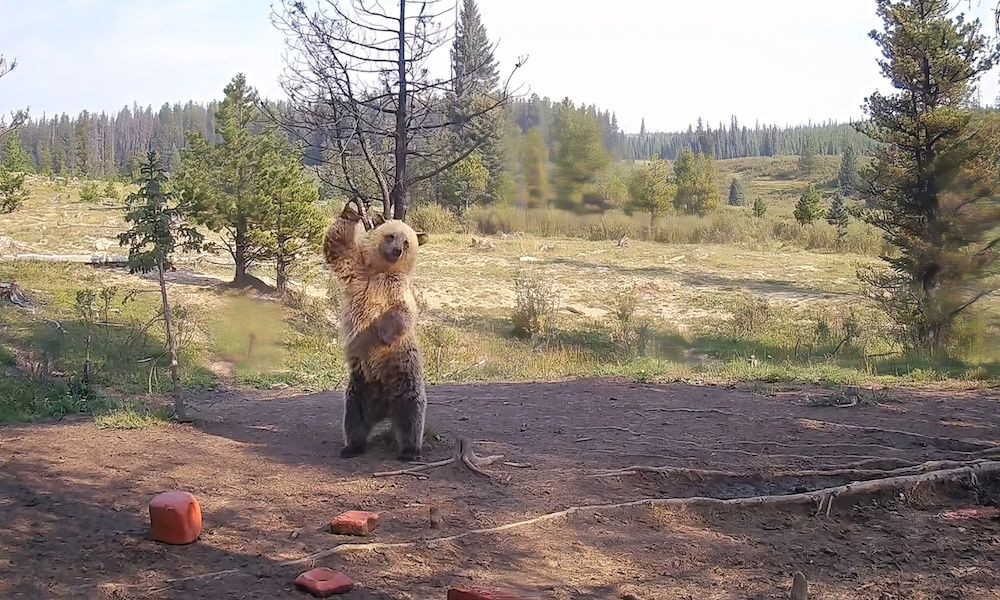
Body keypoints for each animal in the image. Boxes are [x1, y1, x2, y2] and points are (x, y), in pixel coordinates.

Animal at [322, 202, 429, 462]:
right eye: (391, 235)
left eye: (407, 241)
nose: (397, 250)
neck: (382, 271)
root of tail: (384, 407)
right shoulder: (358, 273)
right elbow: (336, 246)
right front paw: (351, 211)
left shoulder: (397, 289)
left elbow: (401, 313)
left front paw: (379, 333)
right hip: (360, 387)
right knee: (354, 417)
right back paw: (351, 447)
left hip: (404, 373)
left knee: (411, 413)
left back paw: (410, 450)